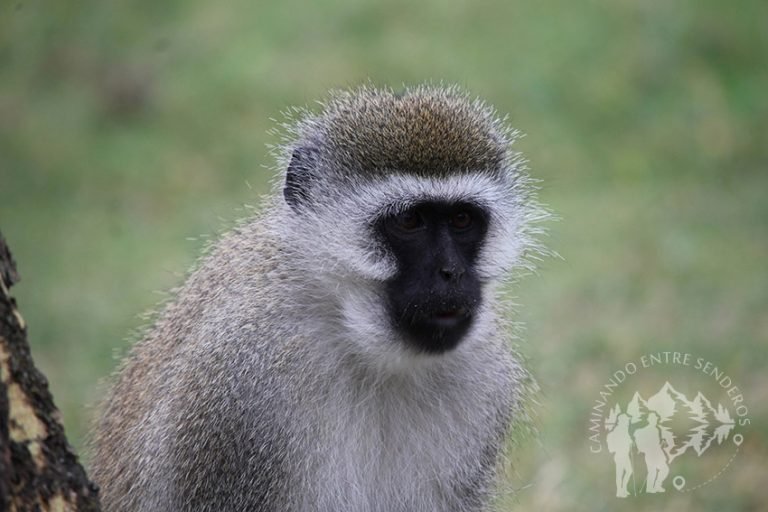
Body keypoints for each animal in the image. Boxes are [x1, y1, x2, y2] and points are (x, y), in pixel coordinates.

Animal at [90, 85, 546, 512]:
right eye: (410, 221)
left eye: (462, 219)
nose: (451, 273)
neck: (360, 345)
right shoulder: (233, 387)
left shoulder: (486, 379)